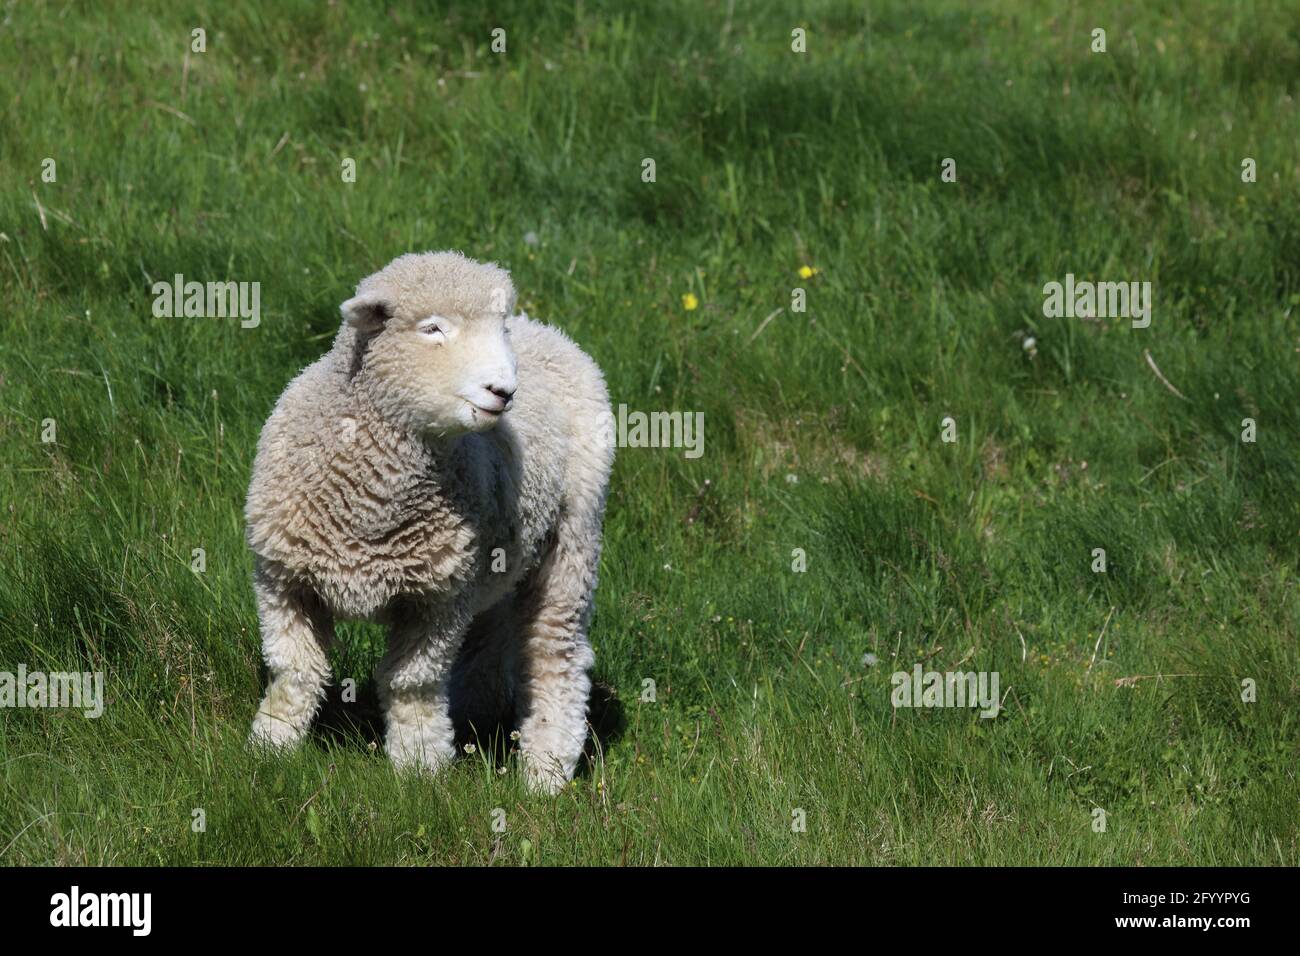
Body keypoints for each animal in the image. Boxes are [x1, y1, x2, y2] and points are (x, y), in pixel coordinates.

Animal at [244, 251, 614, 794]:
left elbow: (412, 684)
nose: (503, 391)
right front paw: (270, 749)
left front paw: (420, 769)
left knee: (555, 652)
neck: (371, 508)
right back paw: (478, 710)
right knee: (492, 631)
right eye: (432, 328)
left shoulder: (437, 601)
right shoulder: (283, 580)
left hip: (573, 541)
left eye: (498, 328)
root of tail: (547, 331)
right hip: (498, 560)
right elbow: (295, 672)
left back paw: (545, 772)